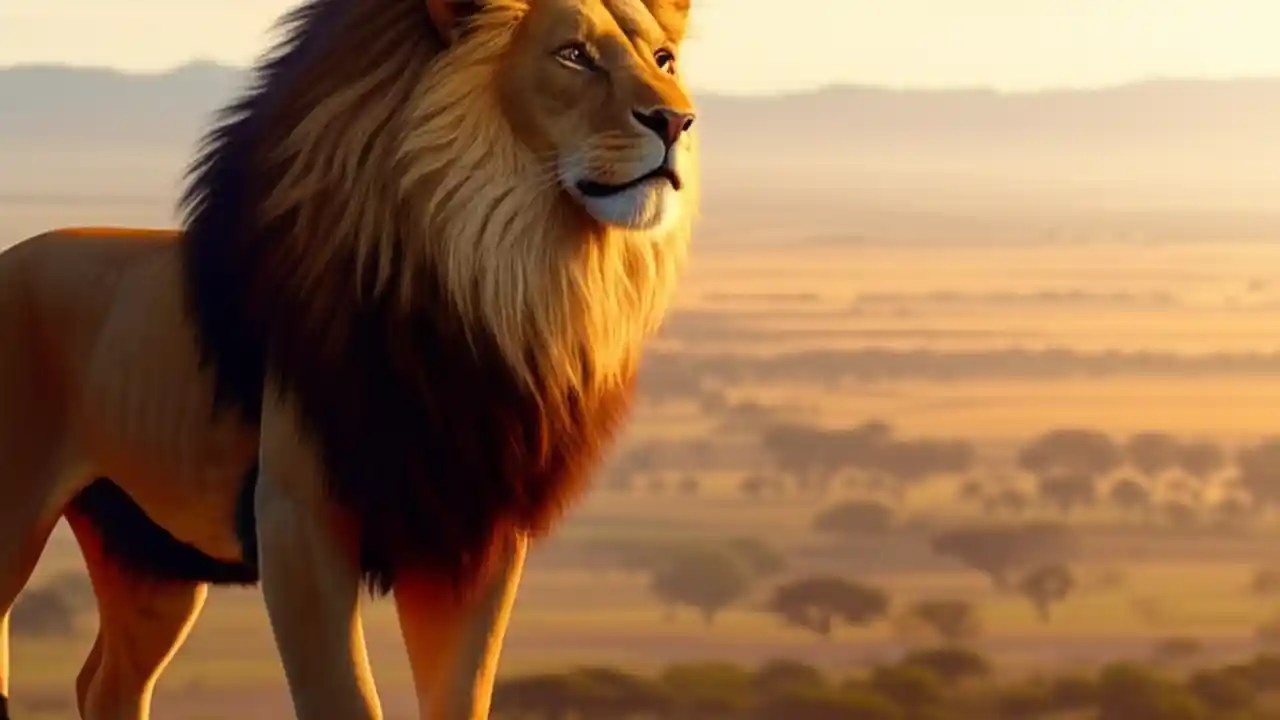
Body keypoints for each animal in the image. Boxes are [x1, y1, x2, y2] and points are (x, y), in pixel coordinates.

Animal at [0, 0, 697, 717]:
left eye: (663, 60)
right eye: (573, 56)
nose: (677, 121)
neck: (493, 273)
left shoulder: (475, 535)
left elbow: (461, 692)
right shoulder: (296, 520)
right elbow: (341, 694)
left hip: (153, 556)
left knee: (106, 682)